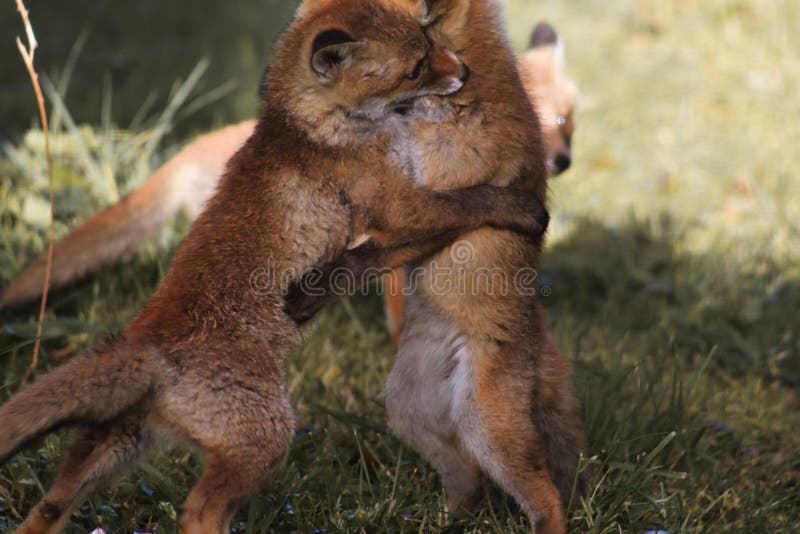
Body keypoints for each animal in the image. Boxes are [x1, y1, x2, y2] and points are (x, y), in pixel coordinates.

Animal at [285, 3, 583, 532]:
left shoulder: (442, 193)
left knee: (545, 495)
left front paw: (317, 288)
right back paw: (448, 520)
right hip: (409, 408)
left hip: (484, 425)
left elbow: (370, 254)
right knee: (469, 480)